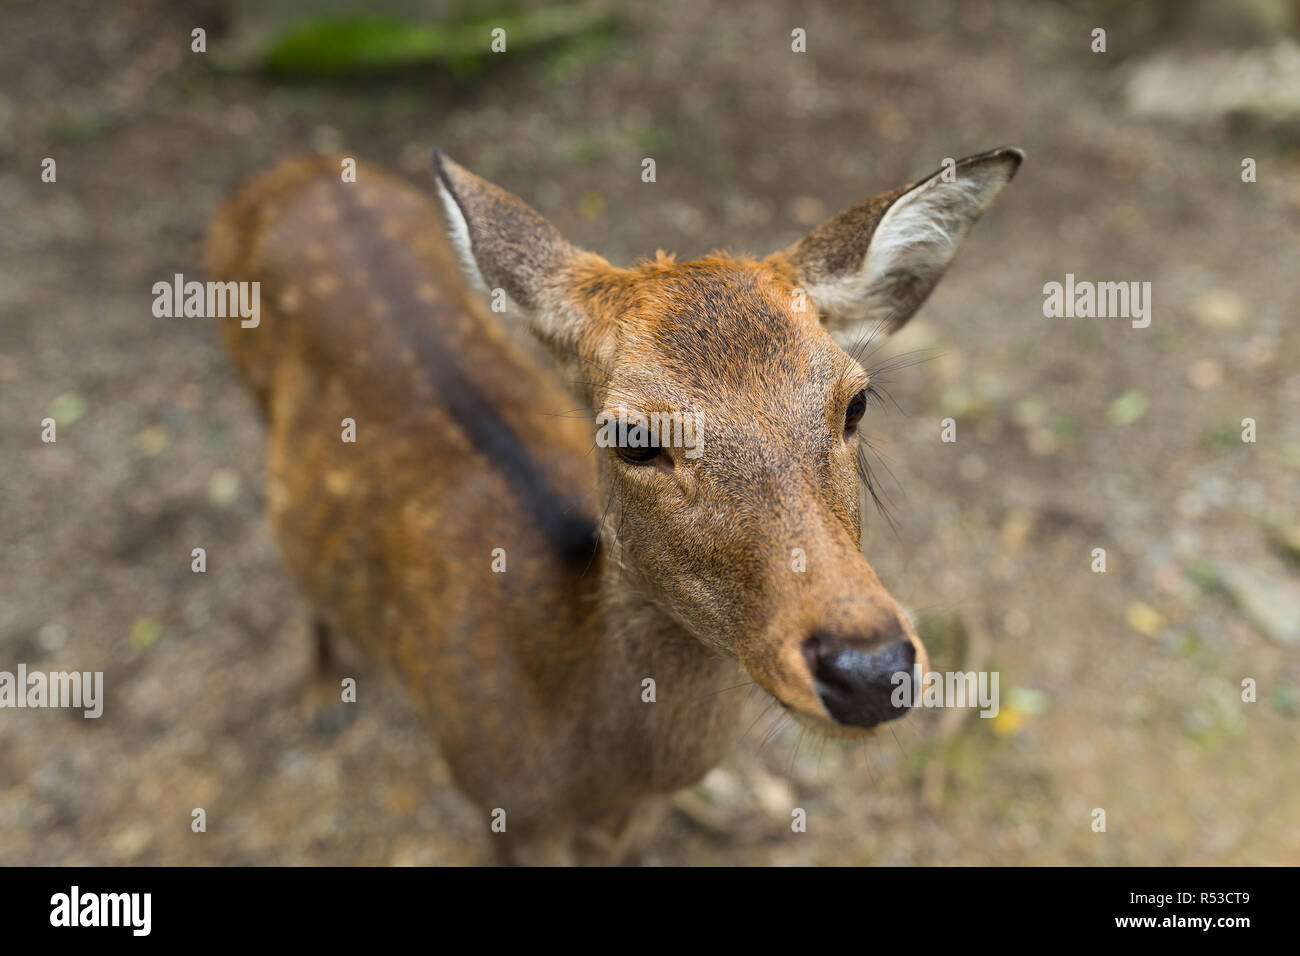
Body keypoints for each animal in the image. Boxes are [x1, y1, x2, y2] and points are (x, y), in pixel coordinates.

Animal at [205, 144, 1023, 864]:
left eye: (856, 401)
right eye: (632, 435)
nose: (870, 670)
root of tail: (293, 167)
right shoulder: (497, 805)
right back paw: (319, 695)